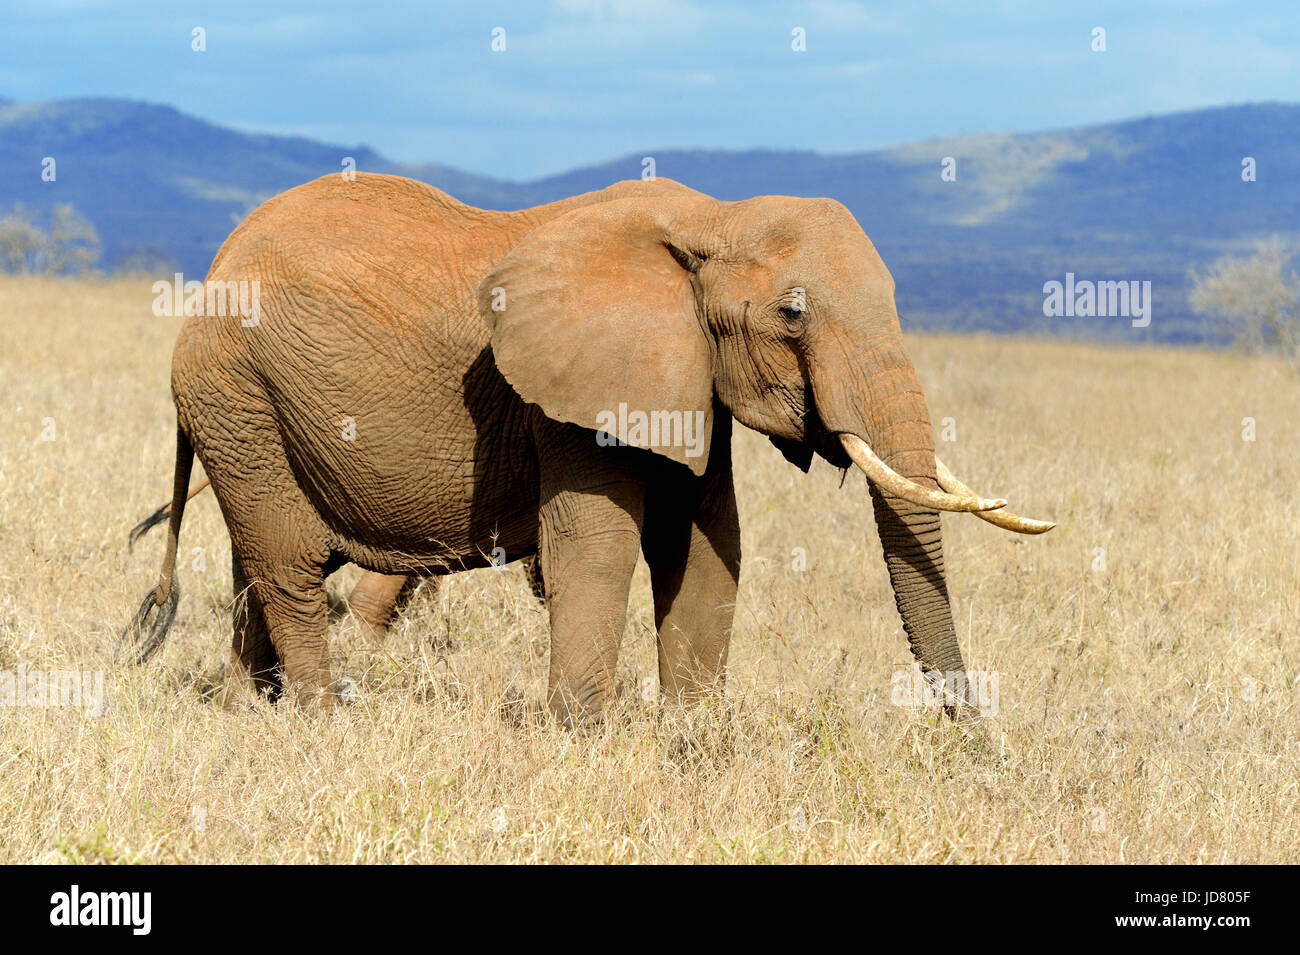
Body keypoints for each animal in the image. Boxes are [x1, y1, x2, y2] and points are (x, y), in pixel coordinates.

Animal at [123, 172, 1052, 725]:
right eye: (793, 313)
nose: (978, 741)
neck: (710, 218)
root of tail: (217, 263)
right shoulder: (571, 394)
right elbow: (597, 546)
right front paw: (583, 738)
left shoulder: (684, 376)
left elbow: (707, 546)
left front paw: (693, 746)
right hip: (233, 388)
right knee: (286, 560)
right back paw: (321, 721)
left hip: (244, 407)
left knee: (255, 561)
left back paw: (247, 712)